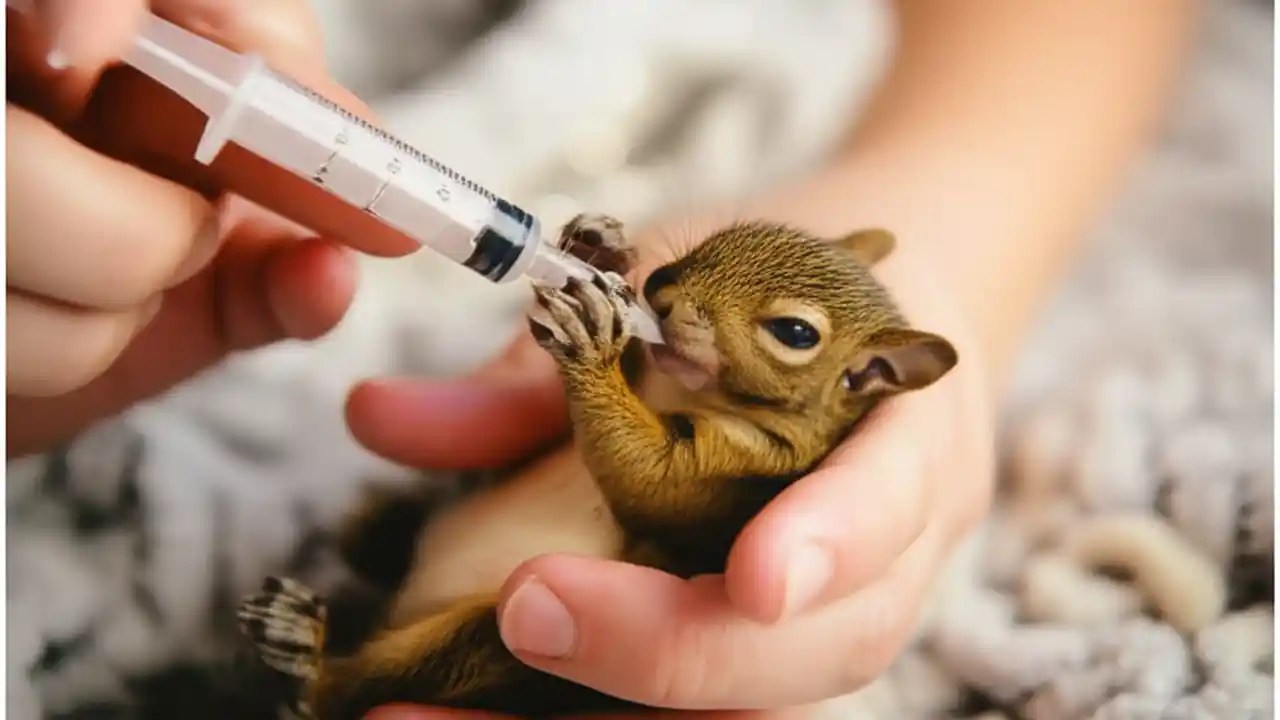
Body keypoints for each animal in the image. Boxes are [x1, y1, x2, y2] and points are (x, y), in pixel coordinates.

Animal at [236, 214, 959, 719]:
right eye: (729, 234)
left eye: (797, 334)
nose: (660, 289)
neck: (690, 390)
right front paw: (597, 248)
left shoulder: (734, 478)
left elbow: (647, 479)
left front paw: (589, 350)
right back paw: (369, 532)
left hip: (499, 643)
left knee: (350, 695)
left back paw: (305, 655)